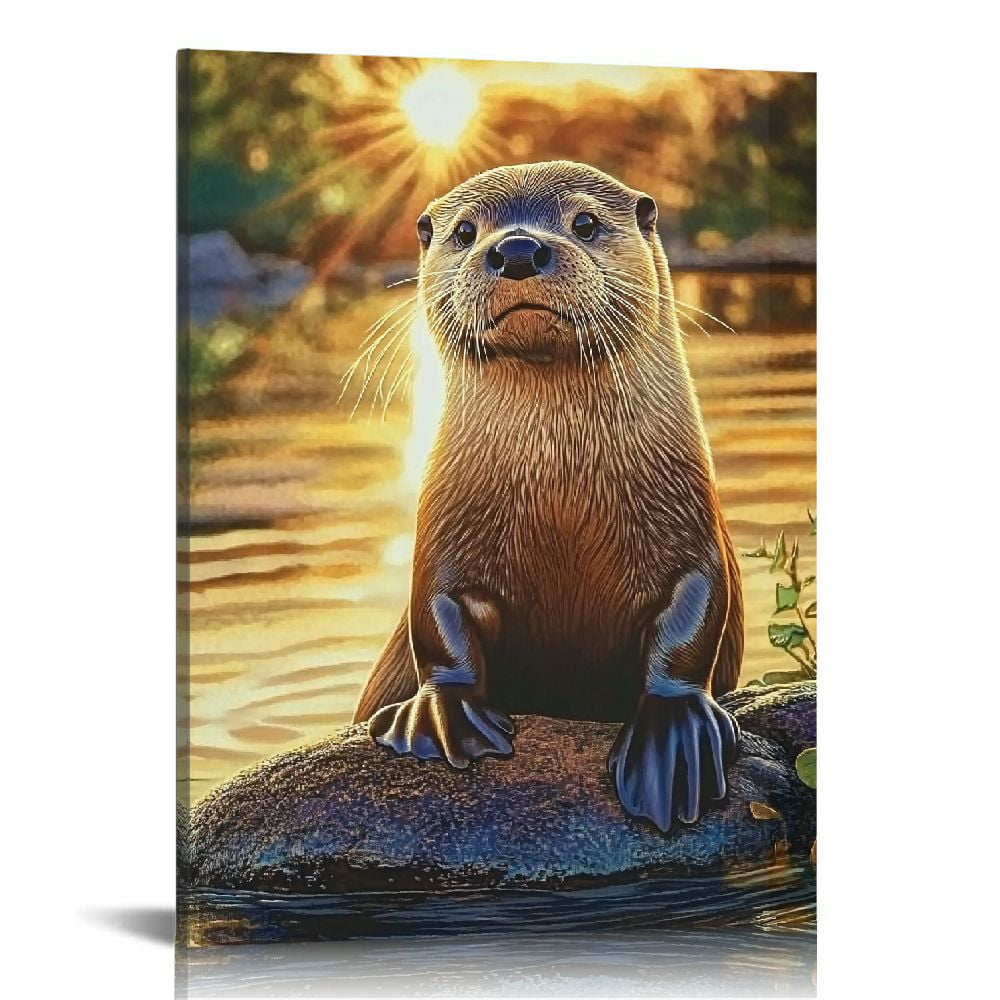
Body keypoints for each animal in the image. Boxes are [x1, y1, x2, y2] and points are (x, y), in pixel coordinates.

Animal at [352, 161, 743, 833]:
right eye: (464, 230)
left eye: (584, 222)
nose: (515, 248)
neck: (561, 497)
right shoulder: (443, 540)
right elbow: (436, 619)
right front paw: (445, 711)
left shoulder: (693, 528)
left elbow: (692, 620)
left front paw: (672, 734)